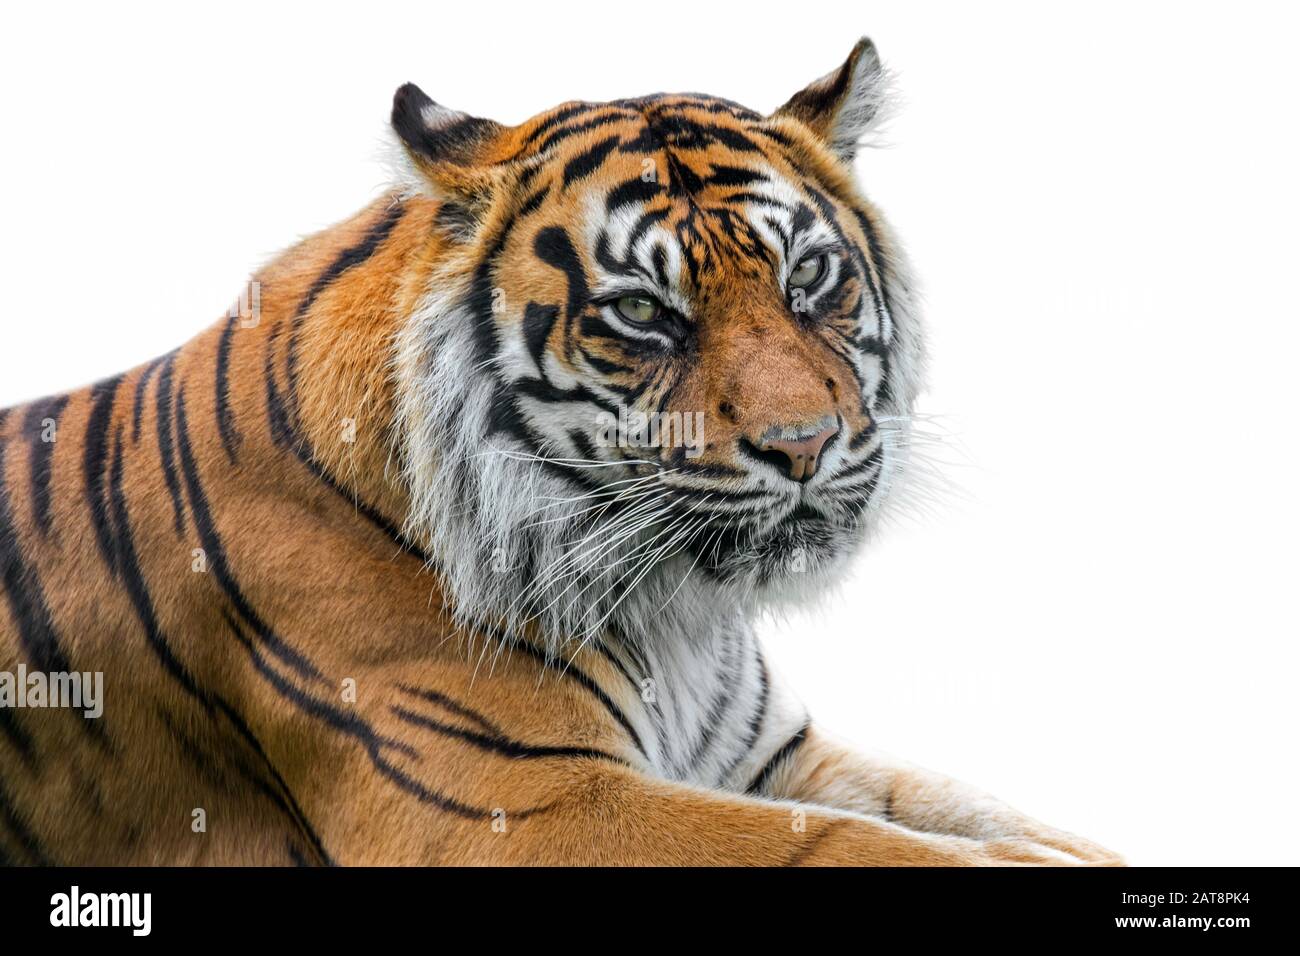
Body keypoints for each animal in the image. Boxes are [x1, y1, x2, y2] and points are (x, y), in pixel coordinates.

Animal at [0, 38, 1120, 866]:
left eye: (809, 277)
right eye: (641, 313)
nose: (802, 446)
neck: (677, 612)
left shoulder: (767, 759)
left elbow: (979, 814)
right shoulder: (520, 802)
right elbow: (855, 847)